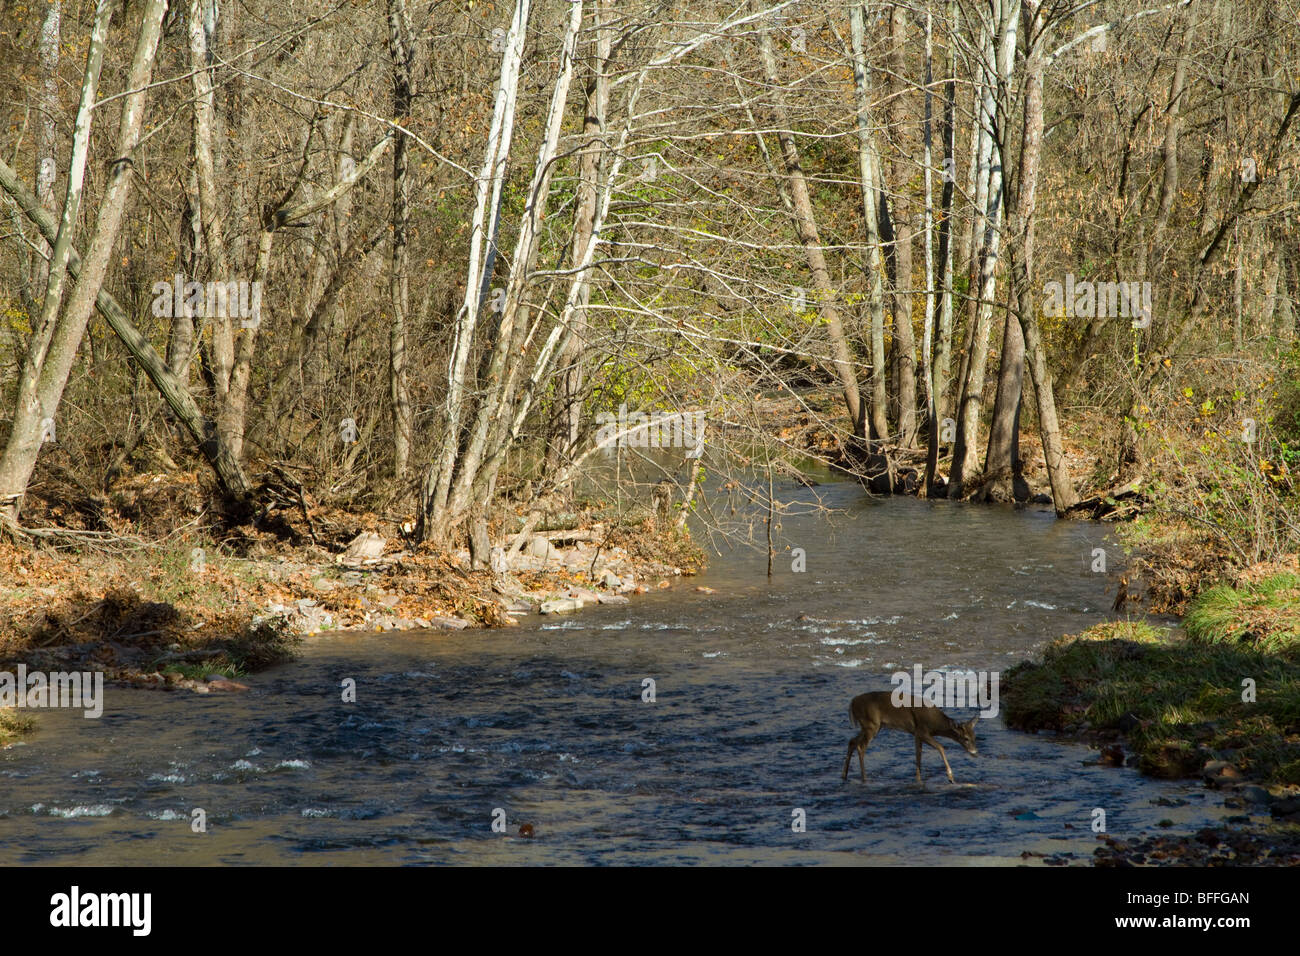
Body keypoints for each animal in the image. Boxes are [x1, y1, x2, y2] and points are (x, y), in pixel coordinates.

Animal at [841, 691, 980, 786]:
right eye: (966, 738)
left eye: (974, 737)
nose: (975, 752)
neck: (936, 725)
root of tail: (852, 702)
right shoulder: (922, 731)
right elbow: (940, 747)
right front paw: (951, 777)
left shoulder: (917, 735)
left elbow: (918, 756)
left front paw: (918, 779)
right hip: (871, 724)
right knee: (861, 746)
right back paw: (864, 778)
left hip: (871, 726)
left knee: (852, 741)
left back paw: (844, 775)